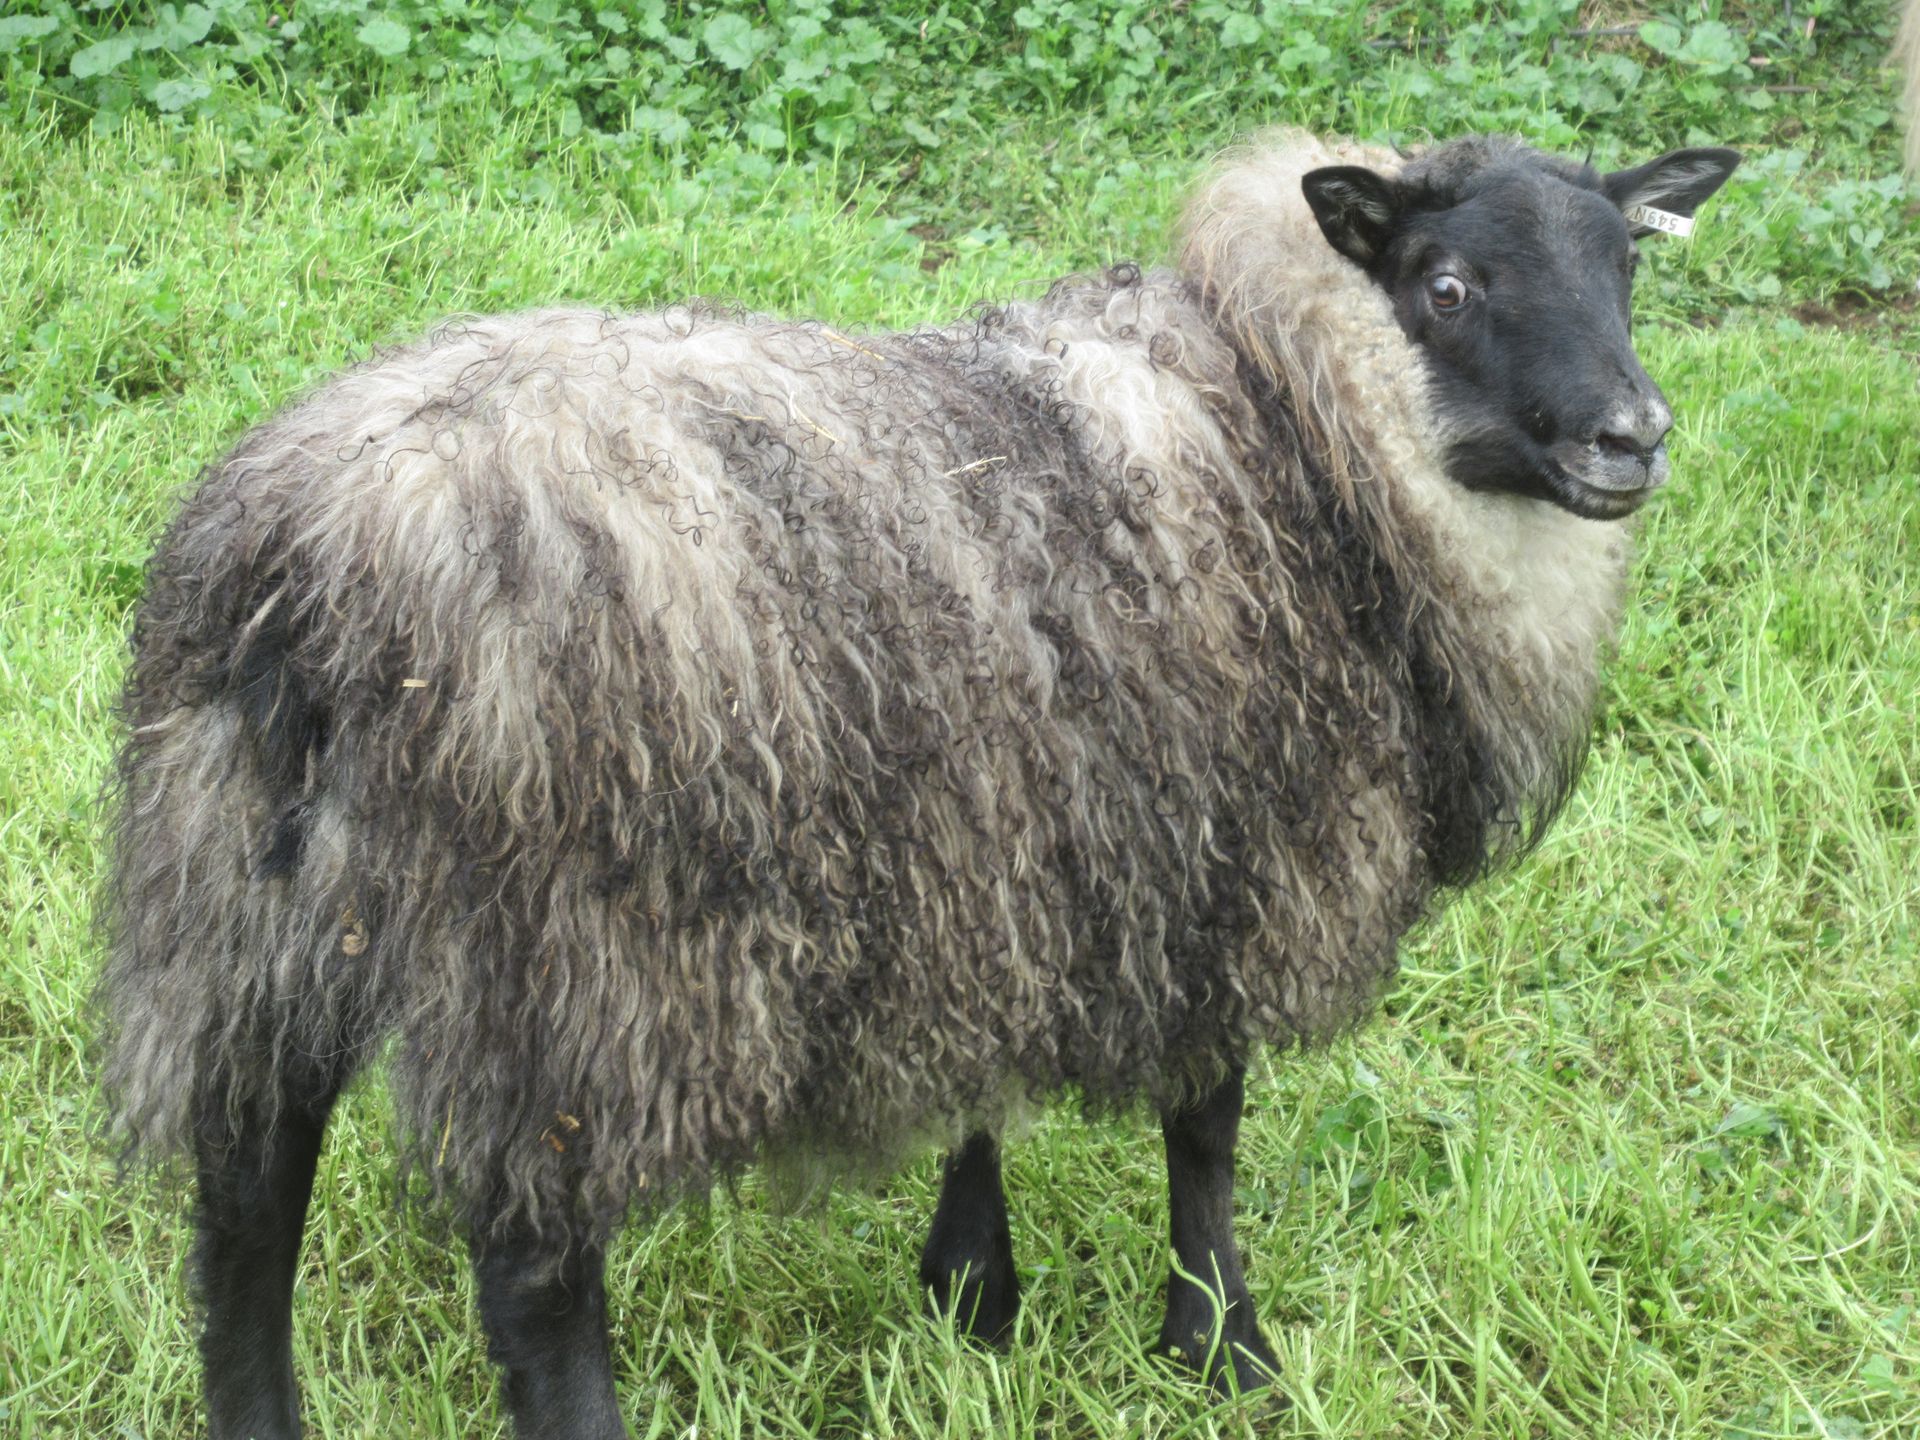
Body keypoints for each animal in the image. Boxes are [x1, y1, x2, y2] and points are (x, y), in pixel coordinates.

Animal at [99, 130, 1738, 1439]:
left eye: (1628, 272)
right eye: (1448, 287)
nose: (1633, 438)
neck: (1299, 429)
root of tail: (322, 569)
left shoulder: (1000, 847)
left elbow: (982, 1092)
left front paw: (972, 1295)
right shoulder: (1241, 849)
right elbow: (1208, 1127)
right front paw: (1223, 1346)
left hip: (237, 903)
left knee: (240, 1209)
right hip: (578, 976)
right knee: (530, 1280)